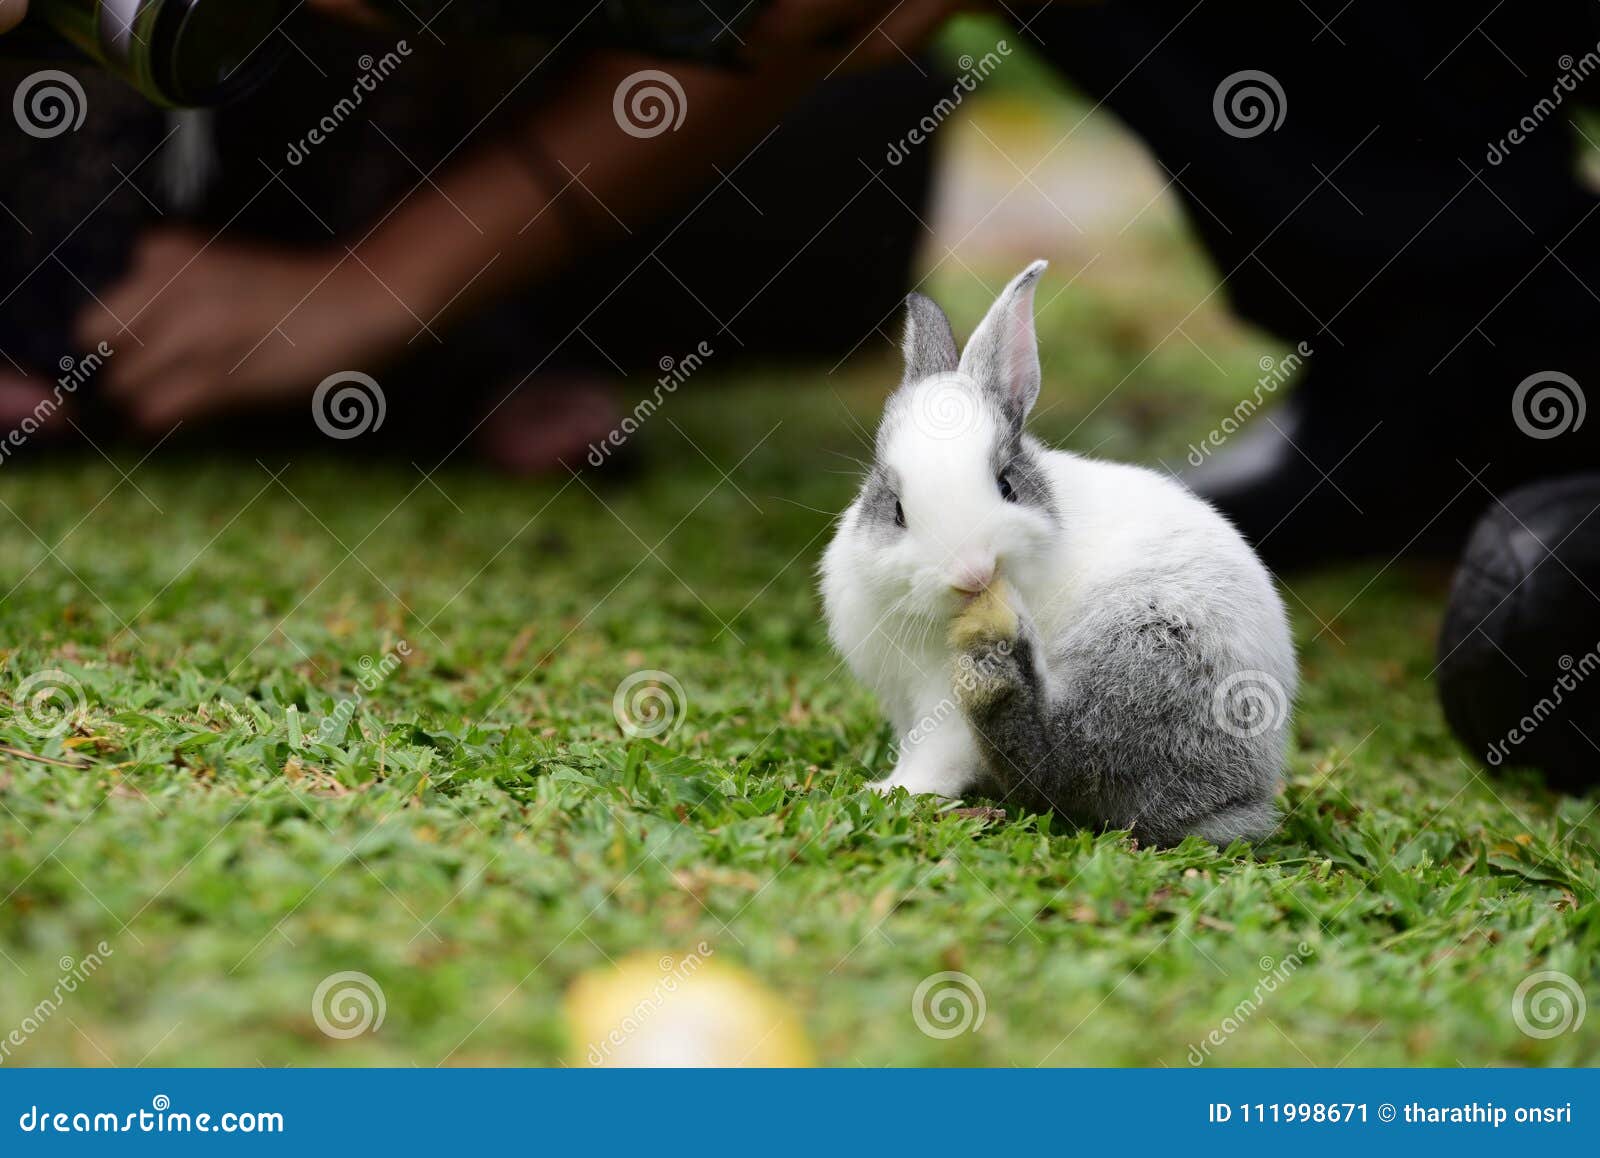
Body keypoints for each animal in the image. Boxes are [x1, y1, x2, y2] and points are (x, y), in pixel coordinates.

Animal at [820, 260, 1298, 847]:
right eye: (896, 510)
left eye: (1007, 486)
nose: (973, 572)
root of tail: (1242, 797)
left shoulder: (943, 712)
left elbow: (939, 760)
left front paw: (892, 792)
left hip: (1152, 648)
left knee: (1064, 761)